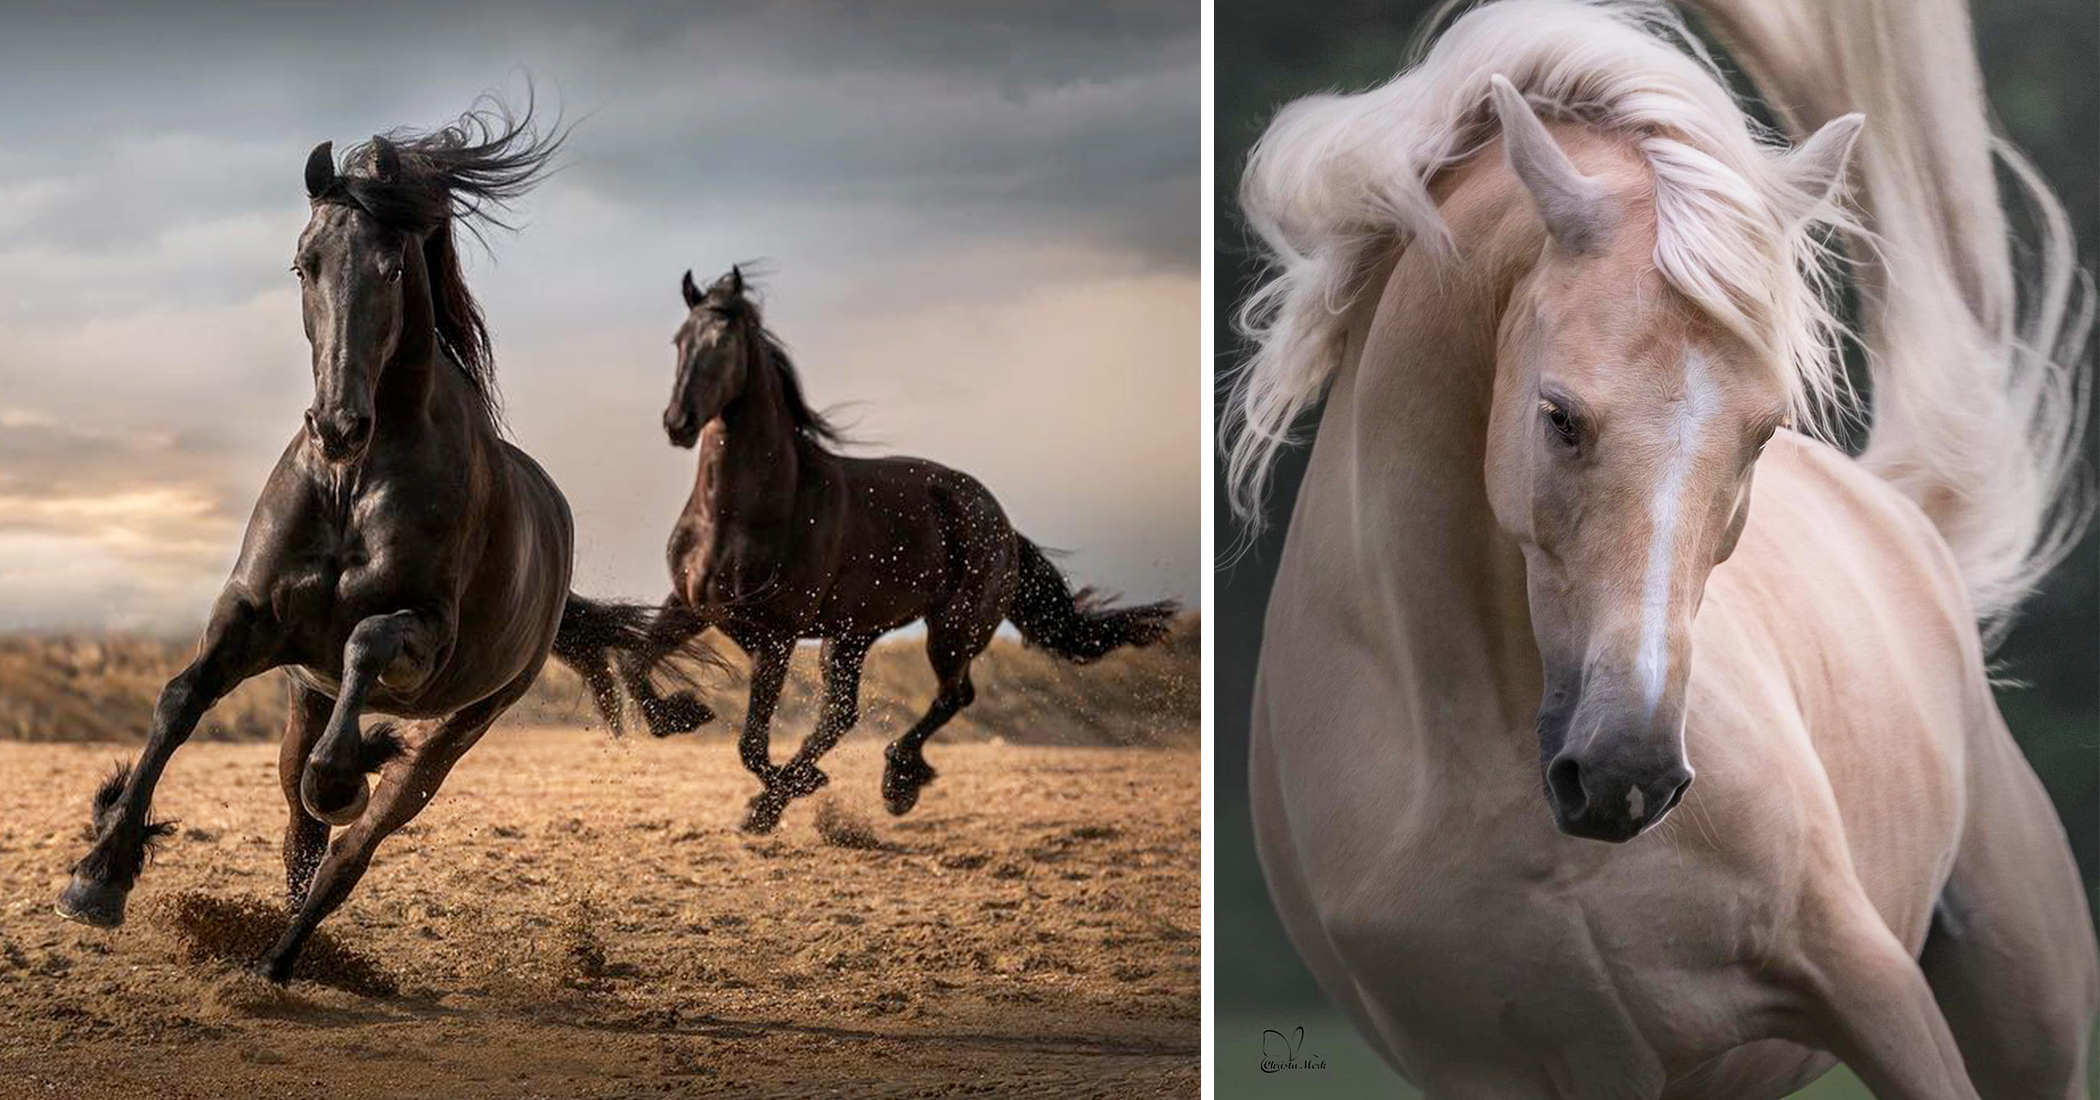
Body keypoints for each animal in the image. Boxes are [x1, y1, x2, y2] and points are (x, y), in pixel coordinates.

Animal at [55, 100, 713, 983]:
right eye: (304, 263)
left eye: (393, 268)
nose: (338, 426)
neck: (353, 485)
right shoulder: (254, 619)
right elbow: (179, 702)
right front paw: (98, 874)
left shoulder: (423, 640)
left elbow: (364, 651)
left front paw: (351, 771)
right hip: (306, 698)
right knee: (299, 837)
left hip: (467, 721)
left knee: (353, 844)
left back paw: (288, 951)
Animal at [612, 265, 1179, 834]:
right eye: (680, 341)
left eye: (726, 344)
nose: (679, 422)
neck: (739, 513)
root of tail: (999, 520)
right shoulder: (690, 606)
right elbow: (636, 666)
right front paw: (685, 716)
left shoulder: (776, 635)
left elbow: (750, 743)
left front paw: (781, 793)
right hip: (853, 635)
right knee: (842, 714)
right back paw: (807, 788)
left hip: (951, 629)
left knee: (951, 696)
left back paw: (891, 782)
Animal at [1223, 0, 2094, 1096]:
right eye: (1559, 417)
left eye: (1764, 431)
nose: (1624, 771)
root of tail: (1902, 515)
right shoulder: (1487, 1069)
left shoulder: (1871, 984)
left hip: (2026, 1011)